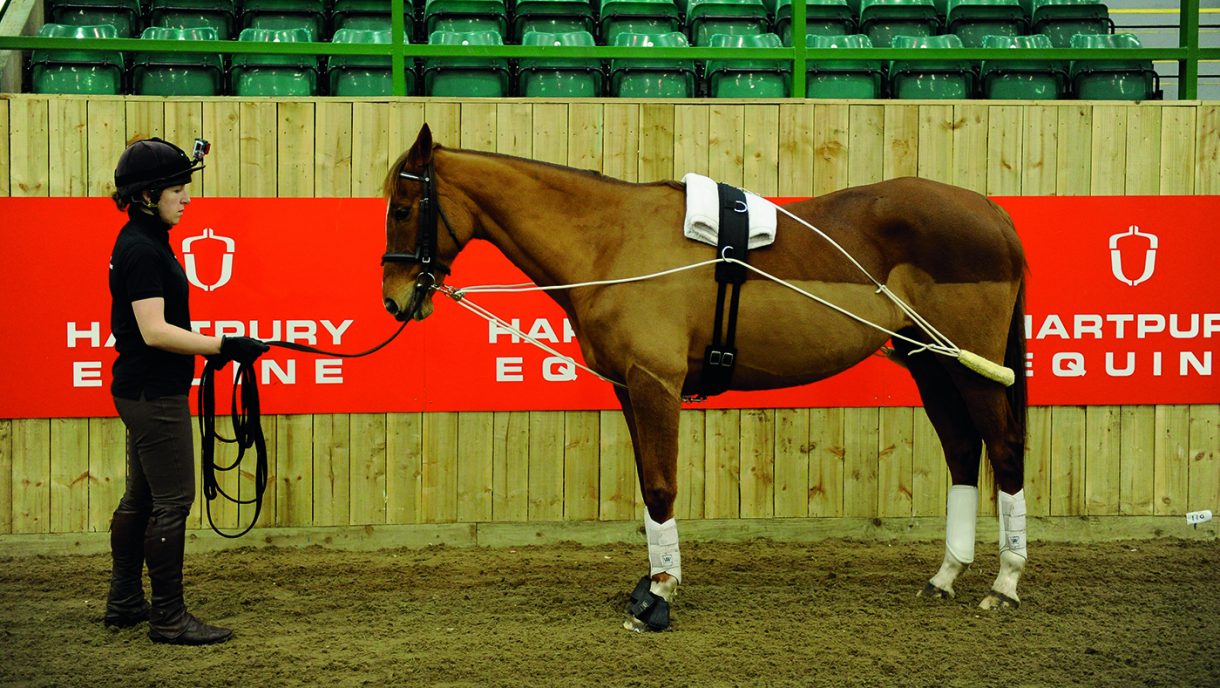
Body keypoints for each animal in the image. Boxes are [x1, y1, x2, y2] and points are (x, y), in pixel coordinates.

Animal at [381, 123, 1029, 632]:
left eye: (403, 209)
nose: (394, 300)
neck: (612, 241)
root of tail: (992, 212)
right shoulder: (628, 387)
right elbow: (648, 485)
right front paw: (648, 584)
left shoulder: (654, 383)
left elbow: (661, 486)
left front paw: (659, 599)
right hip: (931, 361)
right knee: (963, 451)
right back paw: (945, 577)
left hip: (970, 366)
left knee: (1004, 450)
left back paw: (1004, 585)